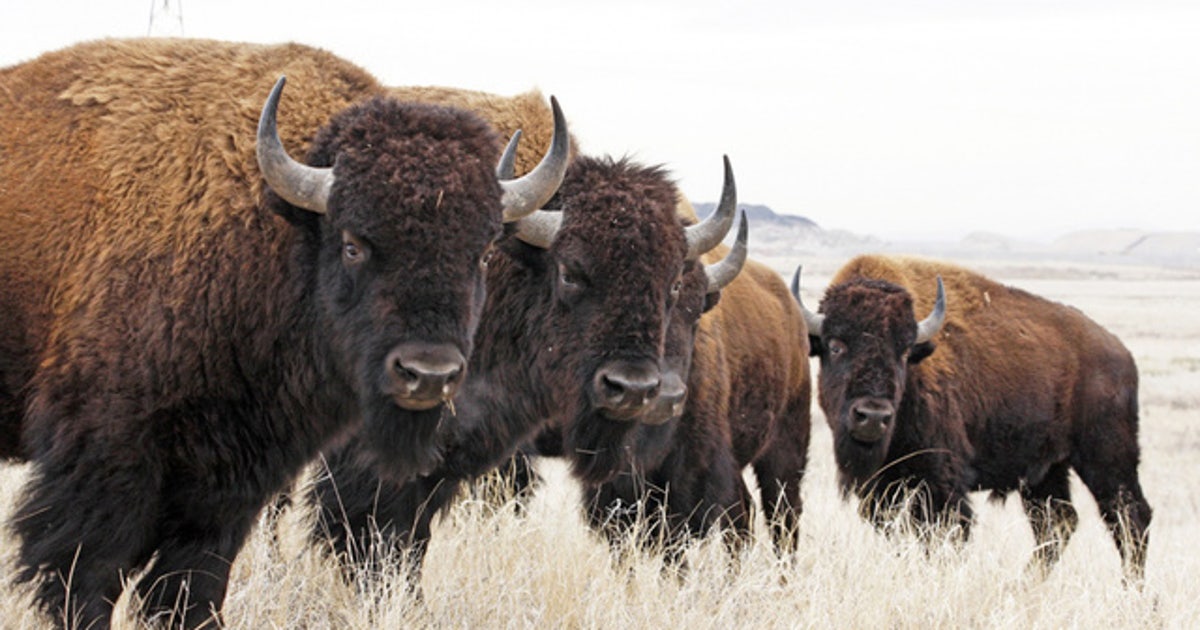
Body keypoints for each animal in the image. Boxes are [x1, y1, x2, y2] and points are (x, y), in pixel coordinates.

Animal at [0, 38, 567, 628]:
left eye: (482, 253)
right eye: (352, 244)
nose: (428, 374)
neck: (272, 231)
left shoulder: (230, 478)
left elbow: (193, 580)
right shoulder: (107, 454)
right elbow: (87, 573)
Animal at [793, 254, 1151, 580]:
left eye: (904, 352)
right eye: (836, 346)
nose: (872, 416)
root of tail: (1121, 353)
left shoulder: (941, 484)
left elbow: (945, 537)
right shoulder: (882, 490)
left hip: (1107, 459)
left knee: (1130, 517)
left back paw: (1132, 591)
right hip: (1047, 471)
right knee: (1057, 522)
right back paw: (1026, 583)